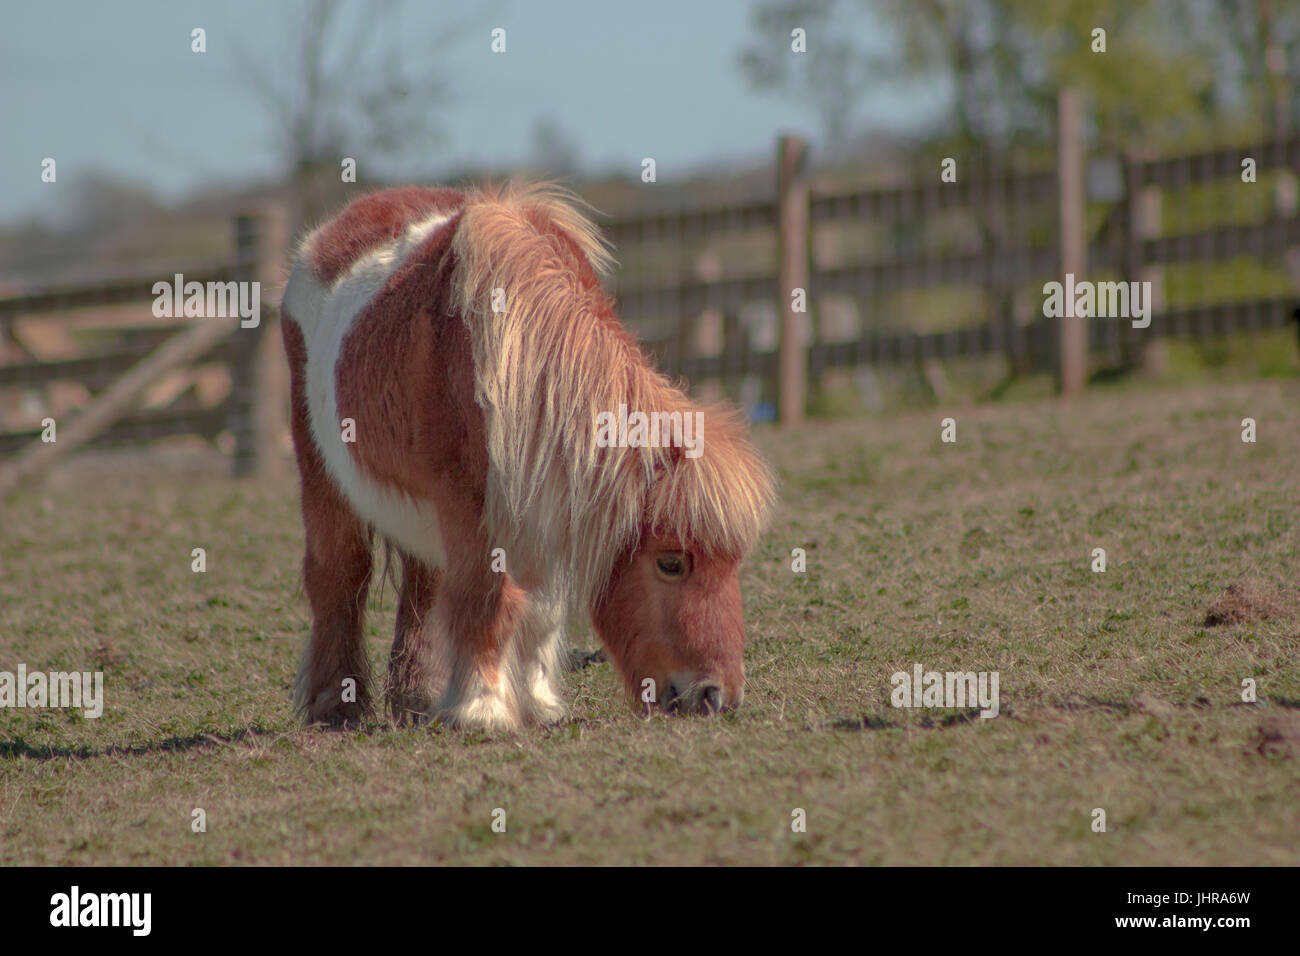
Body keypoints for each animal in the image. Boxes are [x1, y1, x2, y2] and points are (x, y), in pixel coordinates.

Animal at [279, 183, 775, 731]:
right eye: (671, 563)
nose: (716, 695)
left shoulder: (547, 496)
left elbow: (541, 607)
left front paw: (536, 703)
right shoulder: (469, 507)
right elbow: (485, 597)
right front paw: (482, 709)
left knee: (424, 585)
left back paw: (419, 696)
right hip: (323, 476)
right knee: (339, 573)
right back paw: (334, 707)